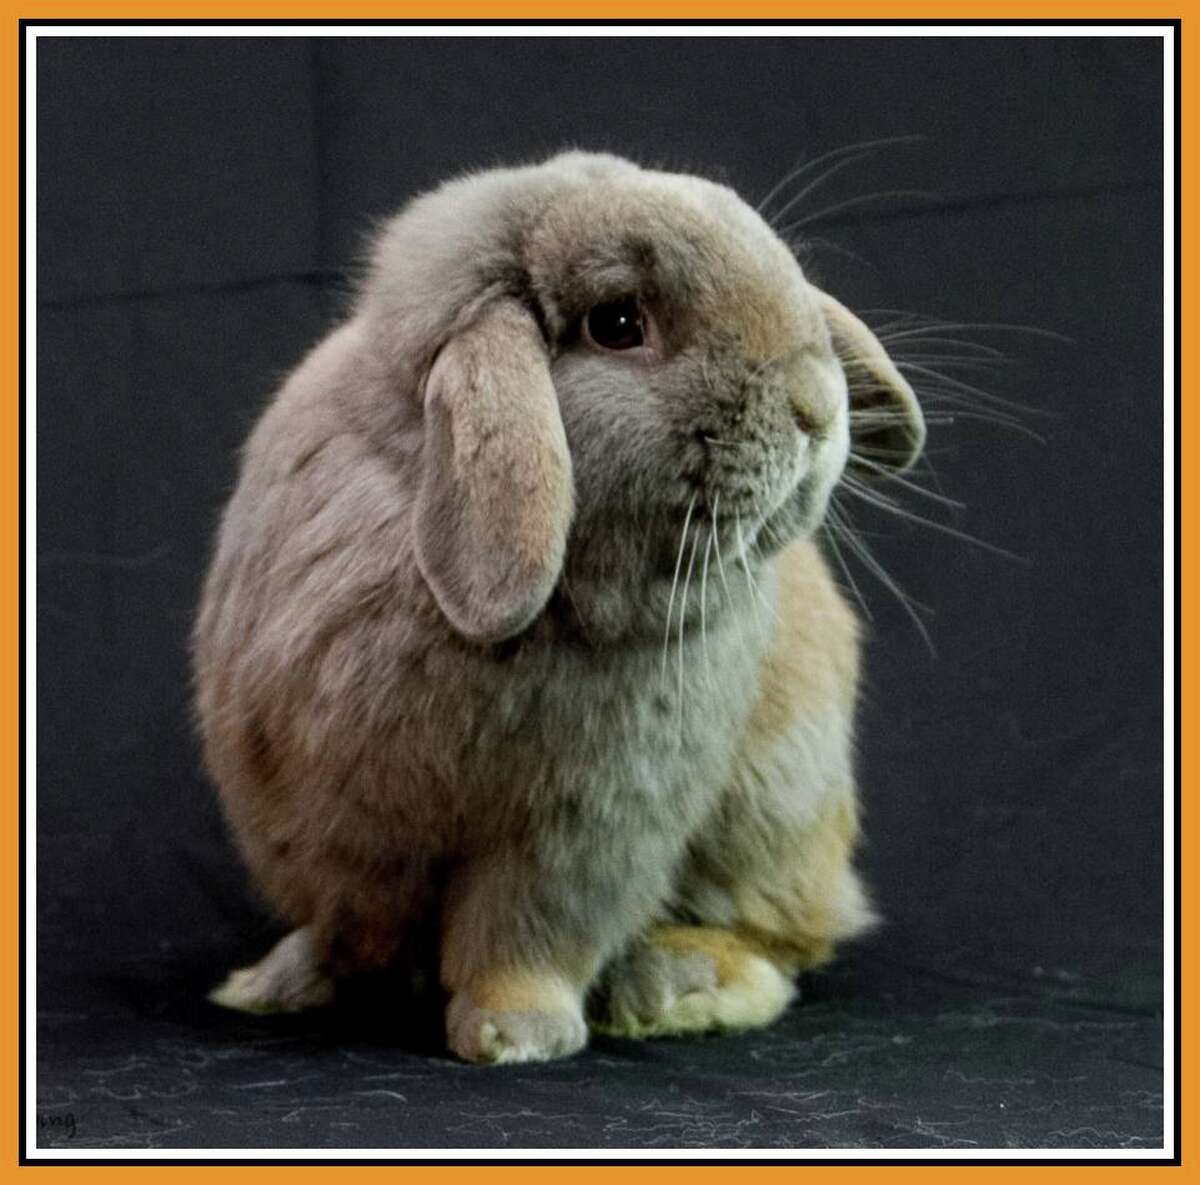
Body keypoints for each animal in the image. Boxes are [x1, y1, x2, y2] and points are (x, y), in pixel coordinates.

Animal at [192, 149, 925, 1064]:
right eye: (618, 323)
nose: (818, 409)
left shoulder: (585, 824)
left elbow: (526, 930)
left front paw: (514, 1033)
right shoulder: (322, 814)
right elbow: (351, 920)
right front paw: (296, 982)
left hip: (779, 817)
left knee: (779, 942)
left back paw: (675, 985)